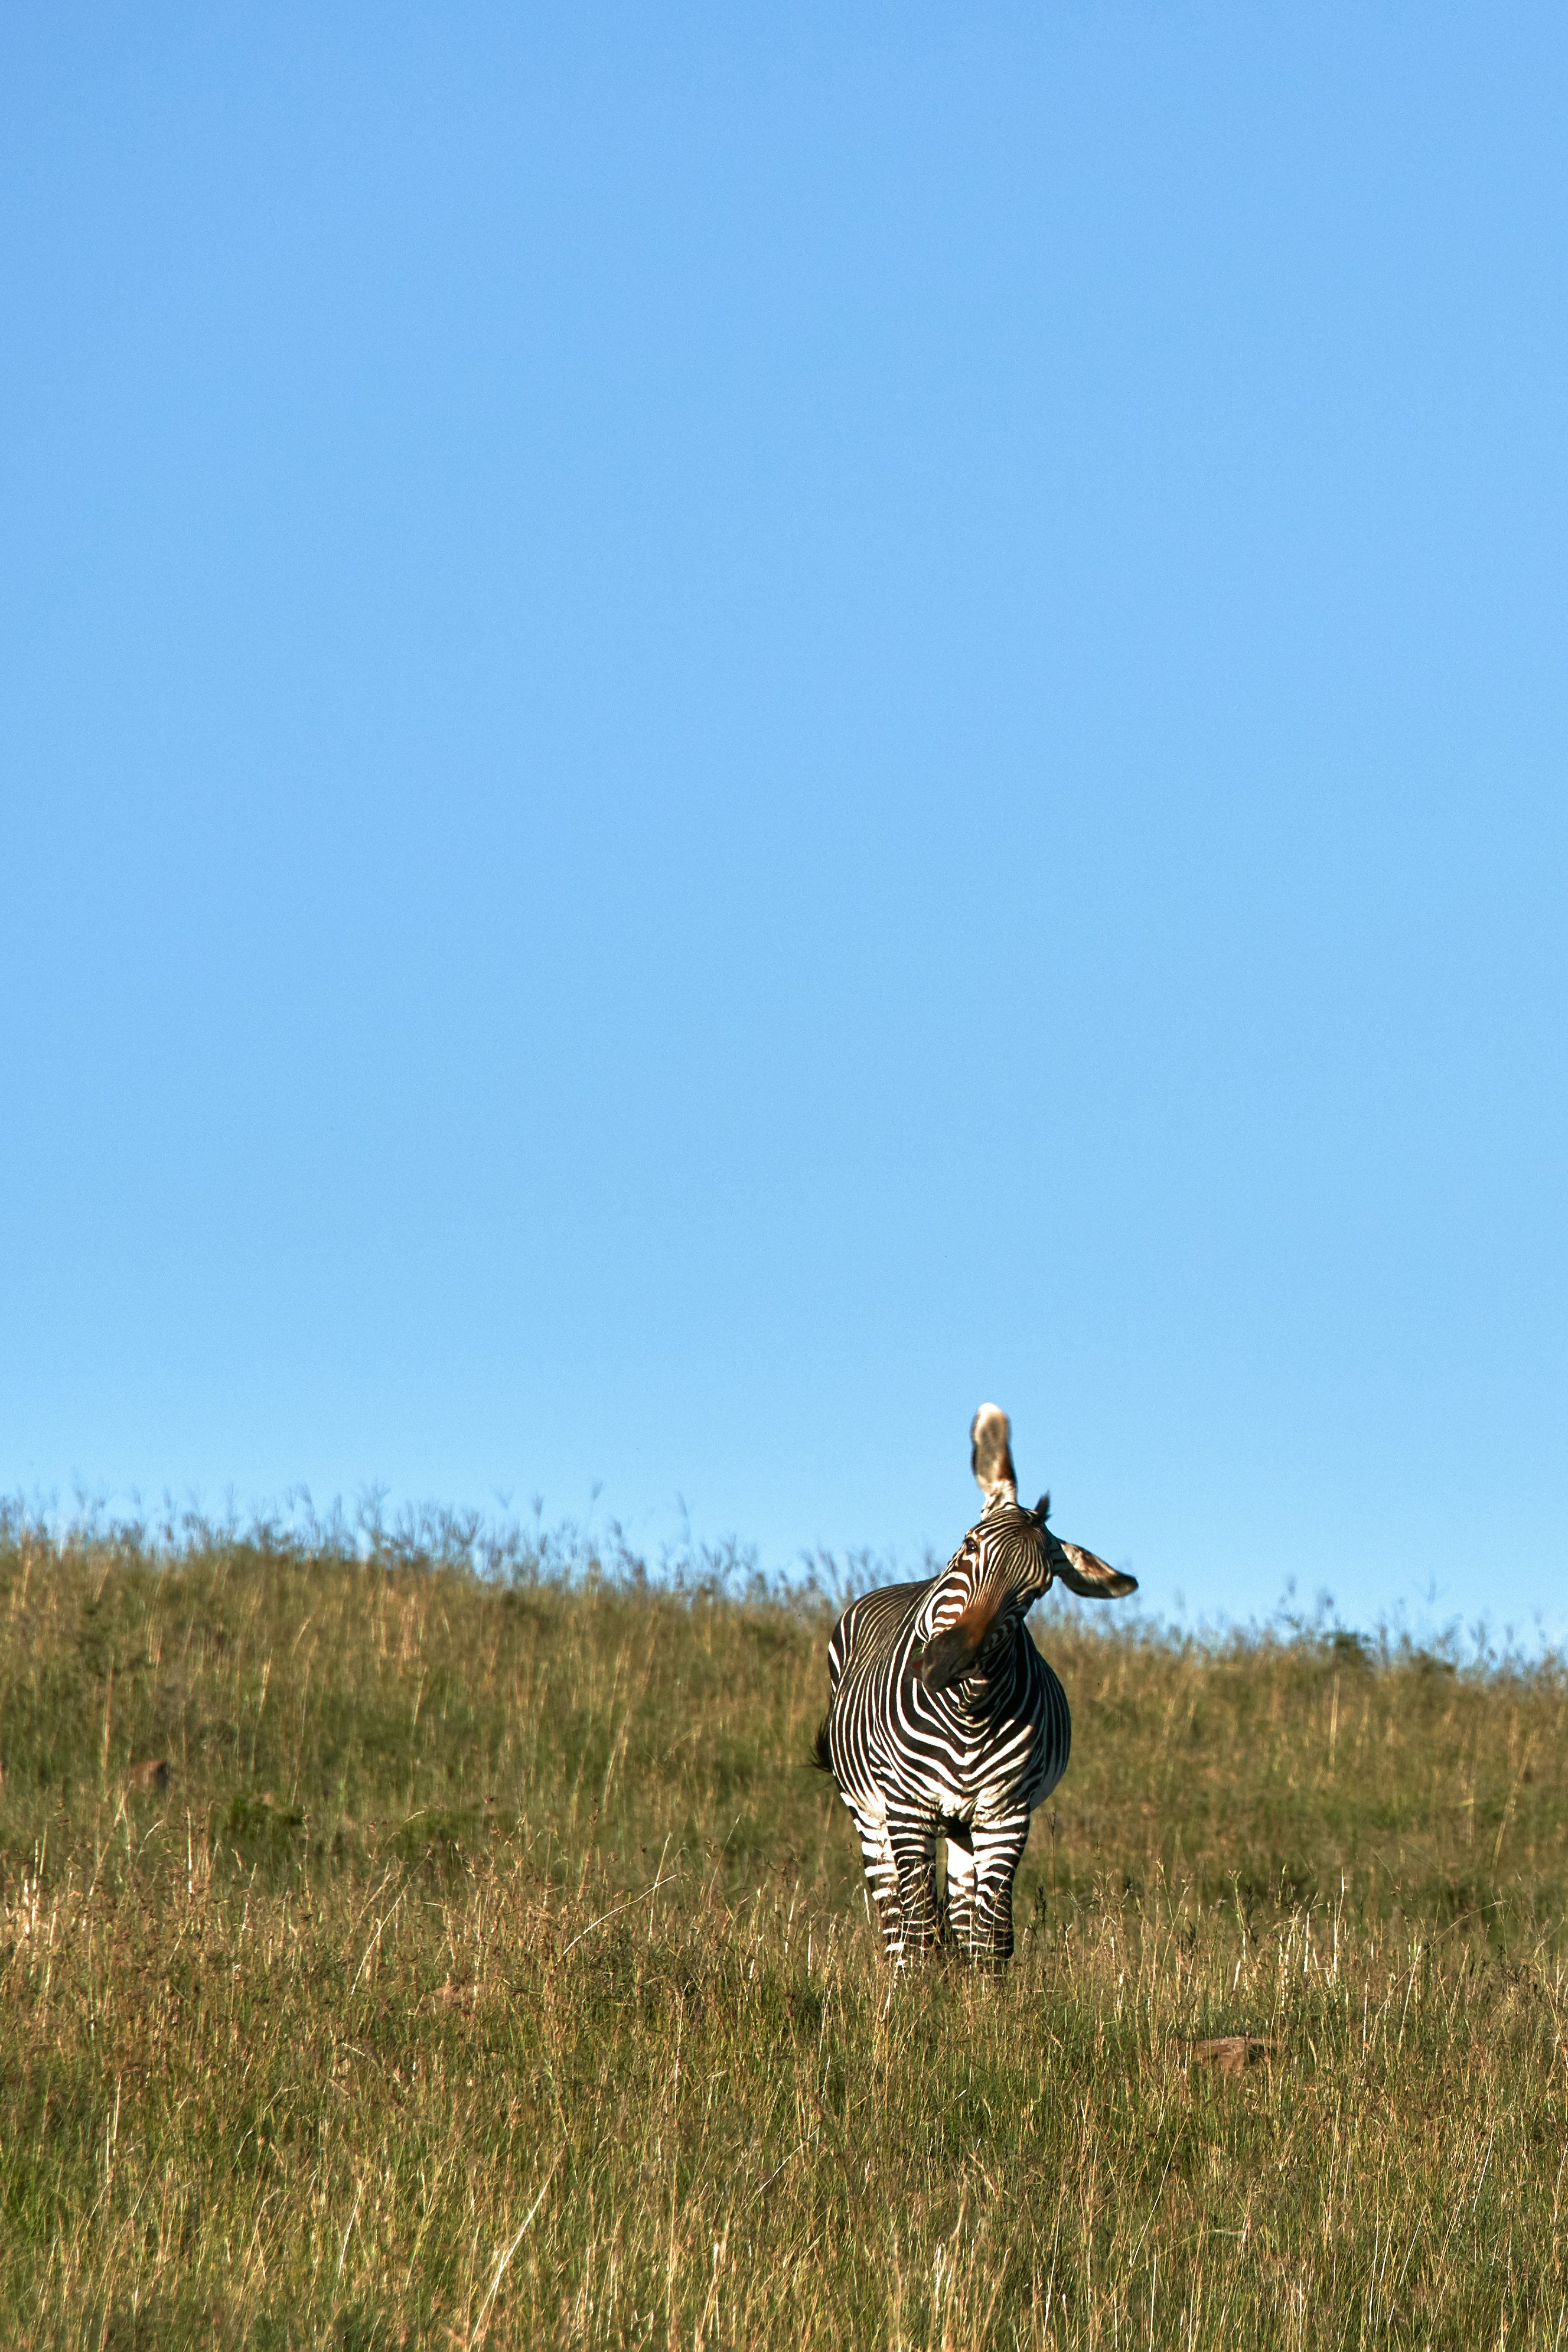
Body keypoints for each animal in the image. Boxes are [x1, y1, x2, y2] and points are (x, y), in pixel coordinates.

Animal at [813, 1404, 1136, 1969]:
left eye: (1034, 1592)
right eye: (969, 1546)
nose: (946, 1664)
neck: (968, 1713)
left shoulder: (1005, 1816)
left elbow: (988, 1937)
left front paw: (982, 1994)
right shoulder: (908, 1808)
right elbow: (921, 1928)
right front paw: (919, 1994)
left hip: (963, 1827)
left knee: (965, 1916)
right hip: (868, 1813)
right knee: (894, 1917)